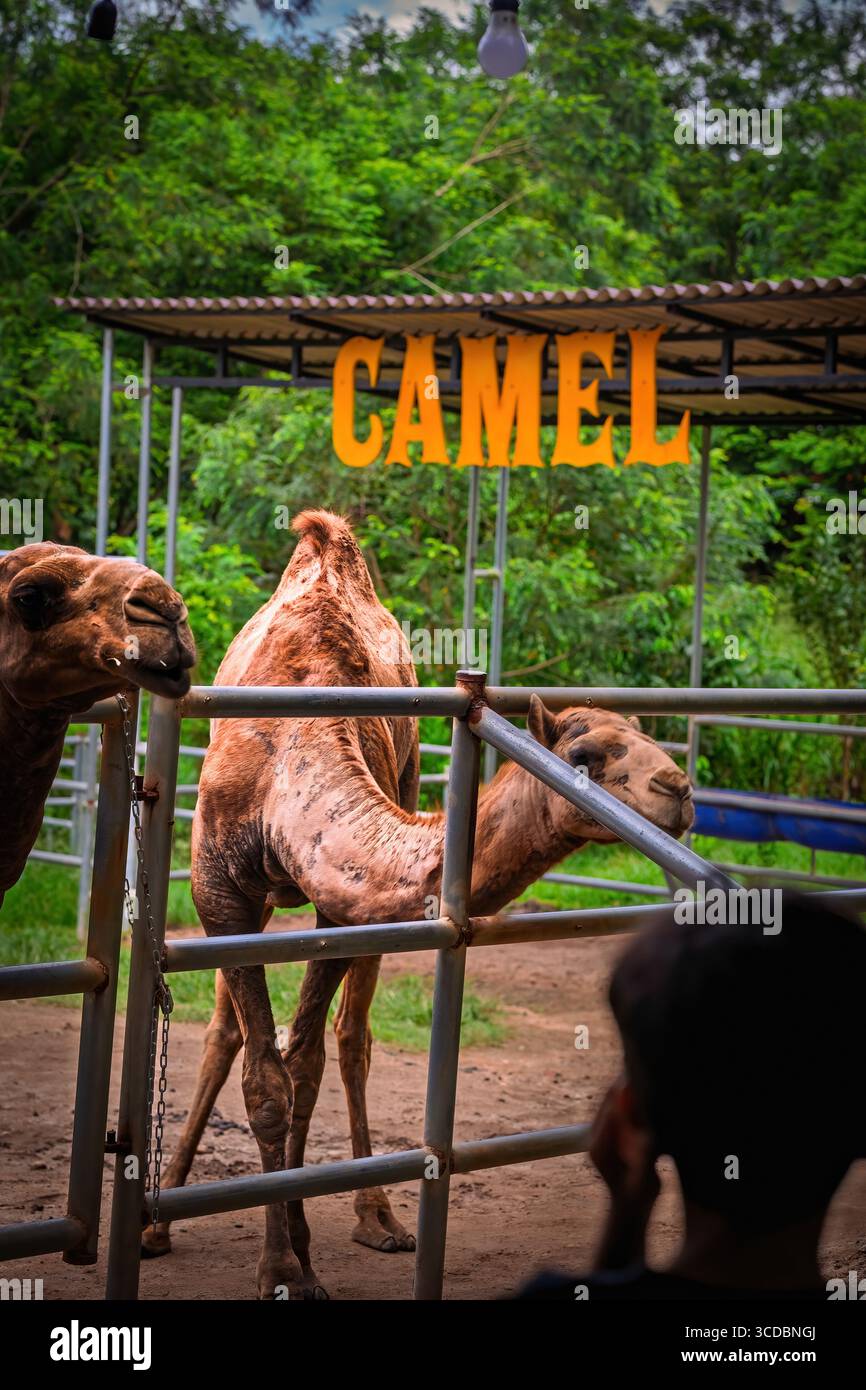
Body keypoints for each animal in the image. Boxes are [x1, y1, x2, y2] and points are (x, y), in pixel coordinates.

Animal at [143, 508, 693, 1300]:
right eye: (585, 758)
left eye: (646, 736)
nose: (678, 789)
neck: (289, 771)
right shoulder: (220, 890)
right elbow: (265, 1078)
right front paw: (281, 1268)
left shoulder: (338, 908)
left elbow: (304, 1063)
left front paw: (304, 1249)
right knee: (224, 1037)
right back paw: (159, 1221)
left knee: (349, 1039)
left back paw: (380, 1220)